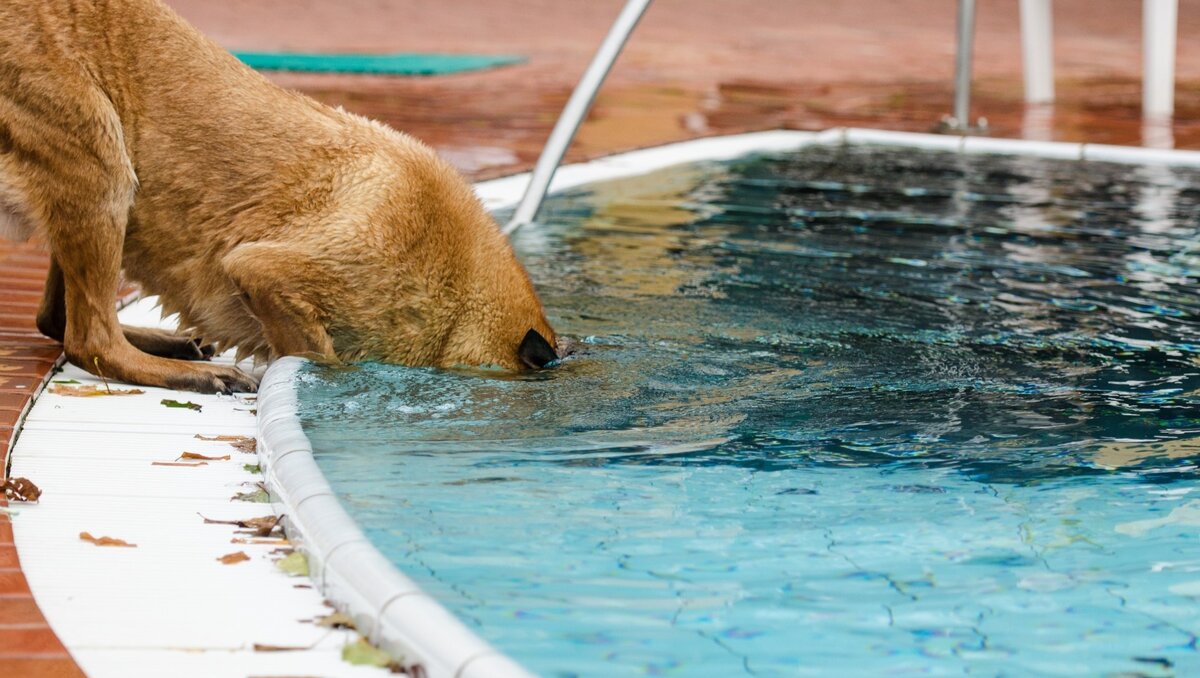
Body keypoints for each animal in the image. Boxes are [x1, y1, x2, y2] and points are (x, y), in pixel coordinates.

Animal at [0, 0, 556, 393]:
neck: (462, 291)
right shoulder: (267, 272)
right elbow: (320, 358)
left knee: (57, 321)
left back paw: (170, 344)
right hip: (103, 162)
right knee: (88, 339)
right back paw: (188, 372)